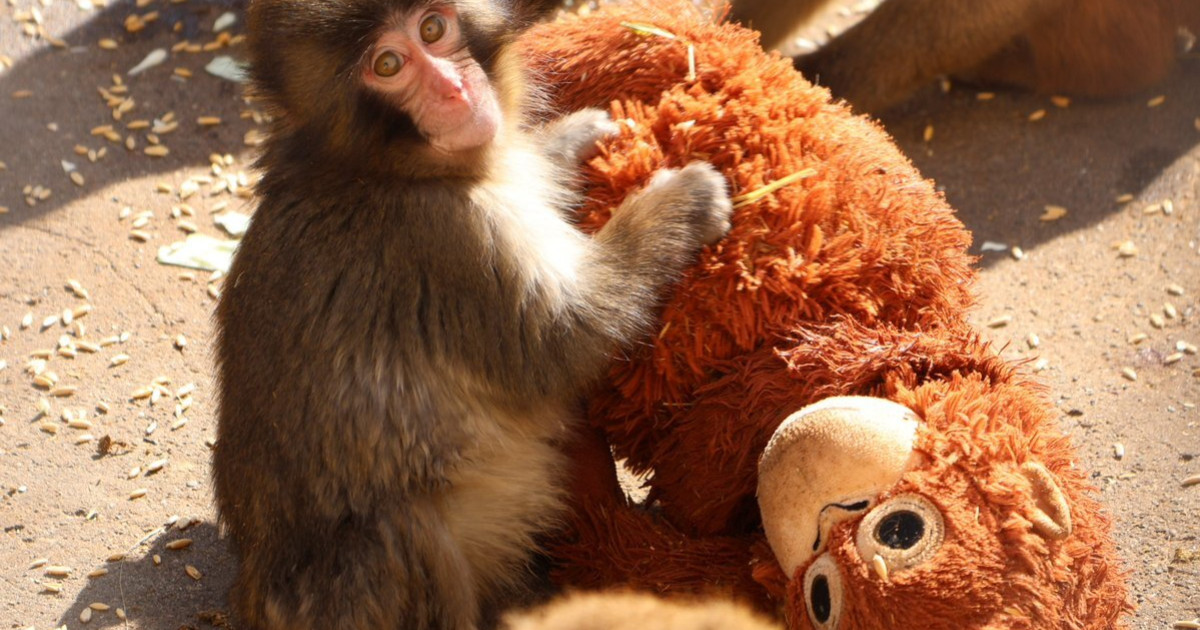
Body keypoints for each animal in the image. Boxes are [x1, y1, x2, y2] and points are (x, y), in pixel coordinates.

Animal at [209, 0, 733, 628]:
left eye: (432, 29)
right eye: (388, 65)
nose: (454, 89)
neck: (377, 169)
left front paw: (567, 140)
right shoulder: (447, 238)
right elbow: (562, 342)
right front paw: (680, 202)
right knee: (401, 530)